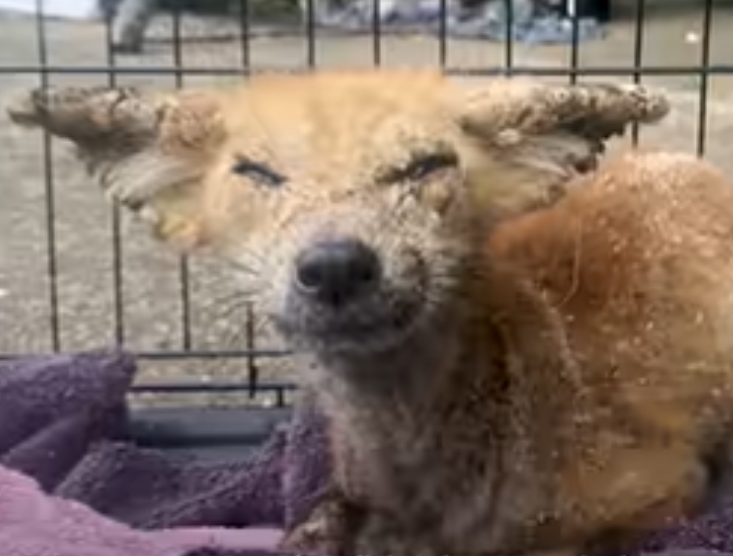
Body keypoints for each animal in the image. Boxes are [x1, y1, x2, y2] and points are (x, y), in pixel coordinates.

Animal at [8, 69, 733, 556]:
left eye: (425, 166)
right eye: (258, 174)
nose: (335, 264)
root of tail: (694, 166)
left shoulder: (656, 491)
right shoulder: (352, 487)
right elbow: (314, 525)